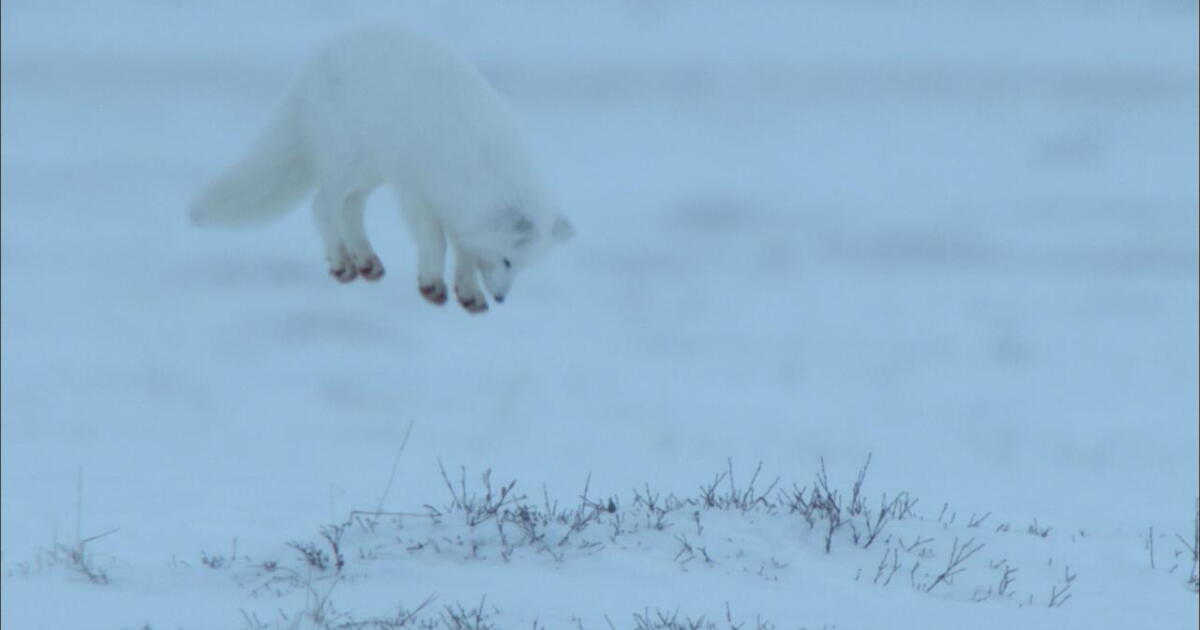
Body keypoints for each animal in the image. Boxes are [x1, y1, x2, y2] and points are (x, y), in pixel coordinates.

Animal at [190, 28, 573, 313]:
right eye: (508, 261)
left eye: (522, 266)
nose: (501, 299)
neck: (480, 163)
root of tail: (314, 64)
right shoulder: (417, 192)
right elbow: (436, 241)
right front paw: (432, 285)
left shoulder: (457, 207)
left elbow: (465, 250)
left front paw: (468, 293)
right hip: (350, 162)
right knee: (322, 205)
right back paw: (342, 263)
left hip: (371, 171)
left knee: (351, 206)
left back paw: (366, 261)